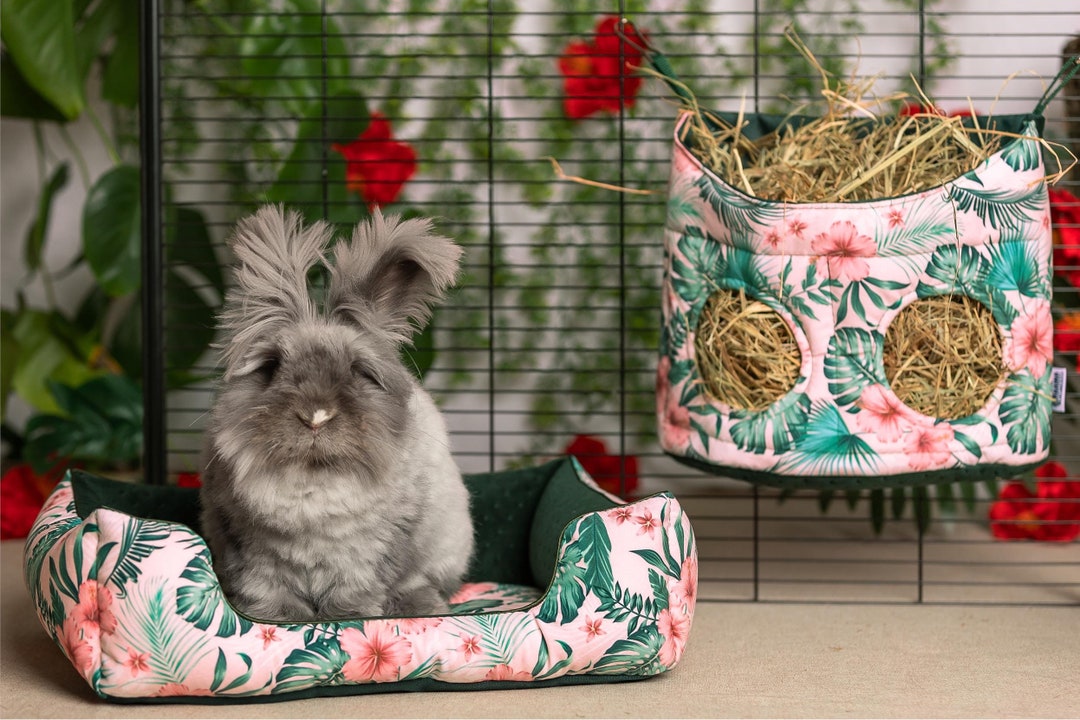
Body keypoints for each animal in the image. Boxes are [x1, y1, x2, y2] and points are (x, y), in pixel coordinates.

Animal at [199, 205, 474, 622]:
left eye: (359, 372)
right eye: (270, 367)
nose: (315, 416)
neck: (313, 481)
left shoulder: (368, 558)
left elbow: (354, 594)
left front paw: (347, 617)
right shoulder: (252, 556)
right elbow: (268, 592)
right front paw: (280, 620)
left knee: (419, 582)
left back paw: (422, 605)